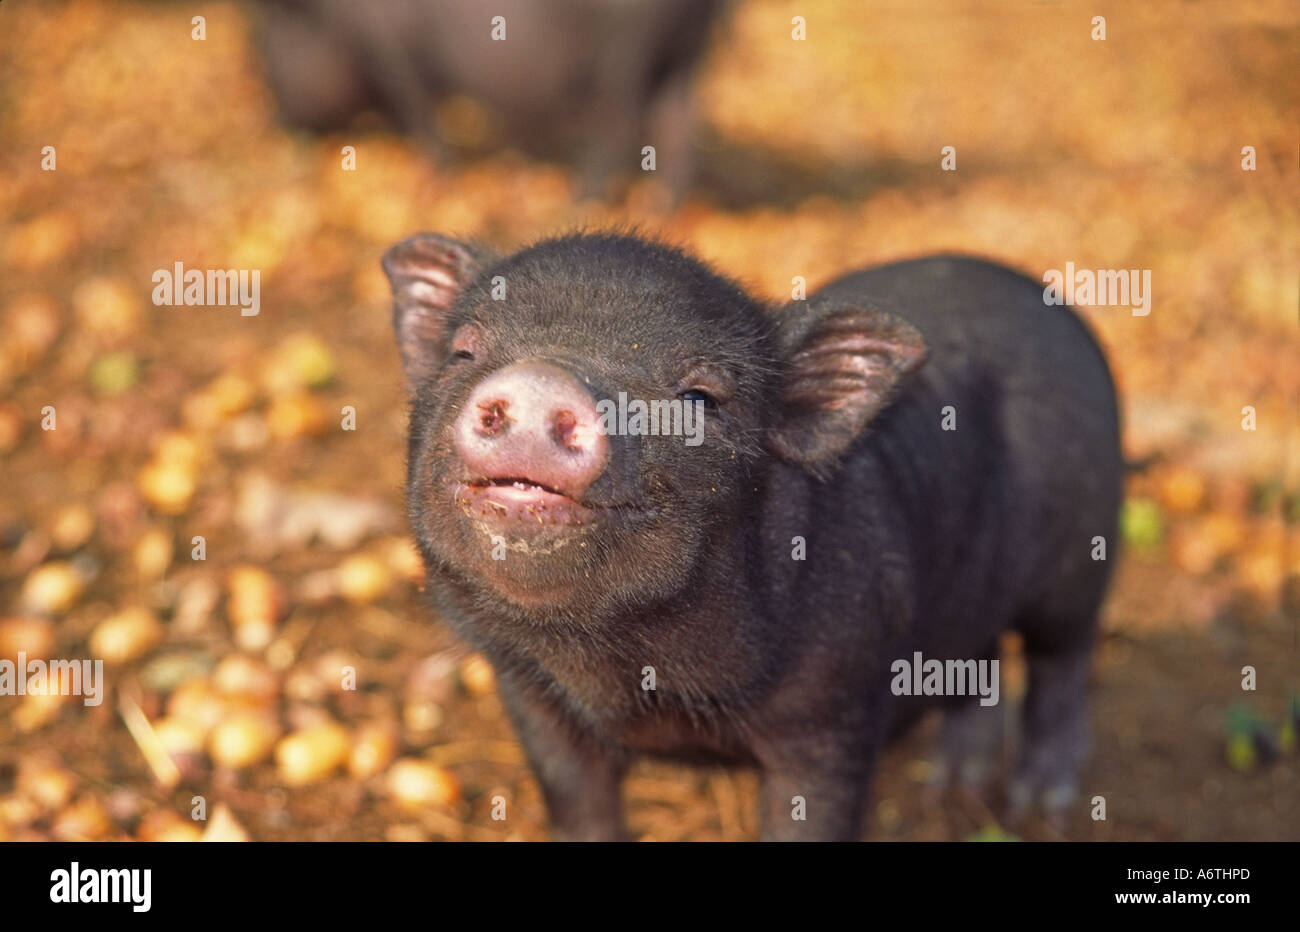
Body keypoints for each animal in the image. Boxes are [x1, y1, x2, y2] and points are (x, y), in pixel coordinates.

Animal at [252, 0, 719, 197]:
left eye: (271, 44)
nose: (275, 121)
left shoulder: (389, 52)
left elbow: (418, 114)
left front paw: (434, 182)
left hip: (625, 57)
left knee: (621, 127)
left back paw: (580, 200)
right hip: (686, 54)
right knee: (678, 130)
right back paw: (660, 208)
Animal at [382, 231, 1123, 840]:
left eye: (699, 399)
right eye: (463, 352)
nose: (541, 377)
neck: (629, 672)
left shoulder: (834, 709)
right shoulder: (531, 697)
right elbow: (578, 805)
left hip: (1082, 558)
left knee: (1064, 657)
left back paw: (1040, 805)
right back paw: (953, 786)